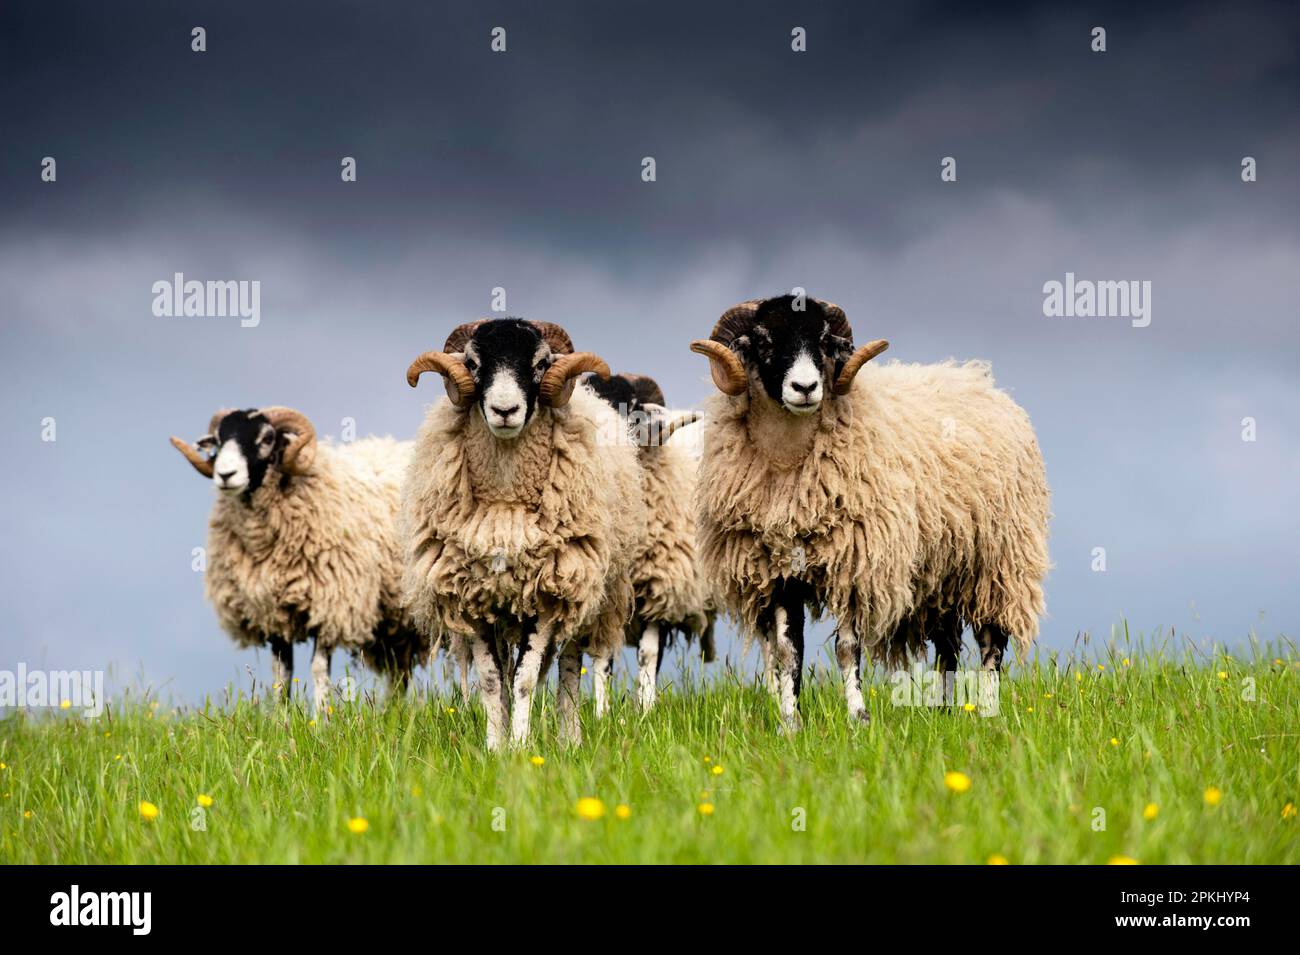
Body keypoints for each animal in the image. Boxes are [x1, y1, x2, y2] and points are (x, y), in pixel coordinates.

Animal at [170, 406, 431, 711]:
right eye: (219, 440)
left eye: (267, 438)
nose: (225, 474)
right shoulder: (274, 613)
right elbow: (281, 673)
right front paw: (280, 716)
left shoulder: (331, 604)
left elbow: (318, 668)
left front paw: (321, 716)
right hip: (398, 623)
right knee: (399, 672)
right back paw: (393, 710)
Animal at [400, 318, 643, 750]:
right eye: (472, 362)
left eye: (541, 362)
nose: (505, 410)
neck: (505, 505)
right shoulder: (472, 598)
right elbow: (492, 679)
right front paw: (495, 748)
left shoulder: (548, 594)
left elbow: (526, 679)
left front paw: (520, 746)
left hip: (587, 592)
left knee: (567, 665)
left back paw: (569, 737)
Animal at [585, 372, 717, 710]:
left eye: (630, 409)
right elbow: (603, 656)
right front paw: (602, 711)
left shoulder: (660, 592)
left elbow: (648, 655)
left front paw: (645, 708)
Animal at [690, 295, 1050, 729]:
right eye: (762, 340)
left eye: (824, 340)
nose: (806, 388)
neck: (789, 463)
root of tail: (977, 379)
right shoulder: (780, 573)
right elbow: (789, 652)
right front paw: (791, 724)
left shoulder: (854, 564)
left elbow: (847, 648)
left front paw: (858, 716)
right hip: (943, 566)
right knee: (947, 645)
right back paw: (945, 711)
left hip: (997, 560)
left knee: (992, 642)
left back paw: (987, 712)